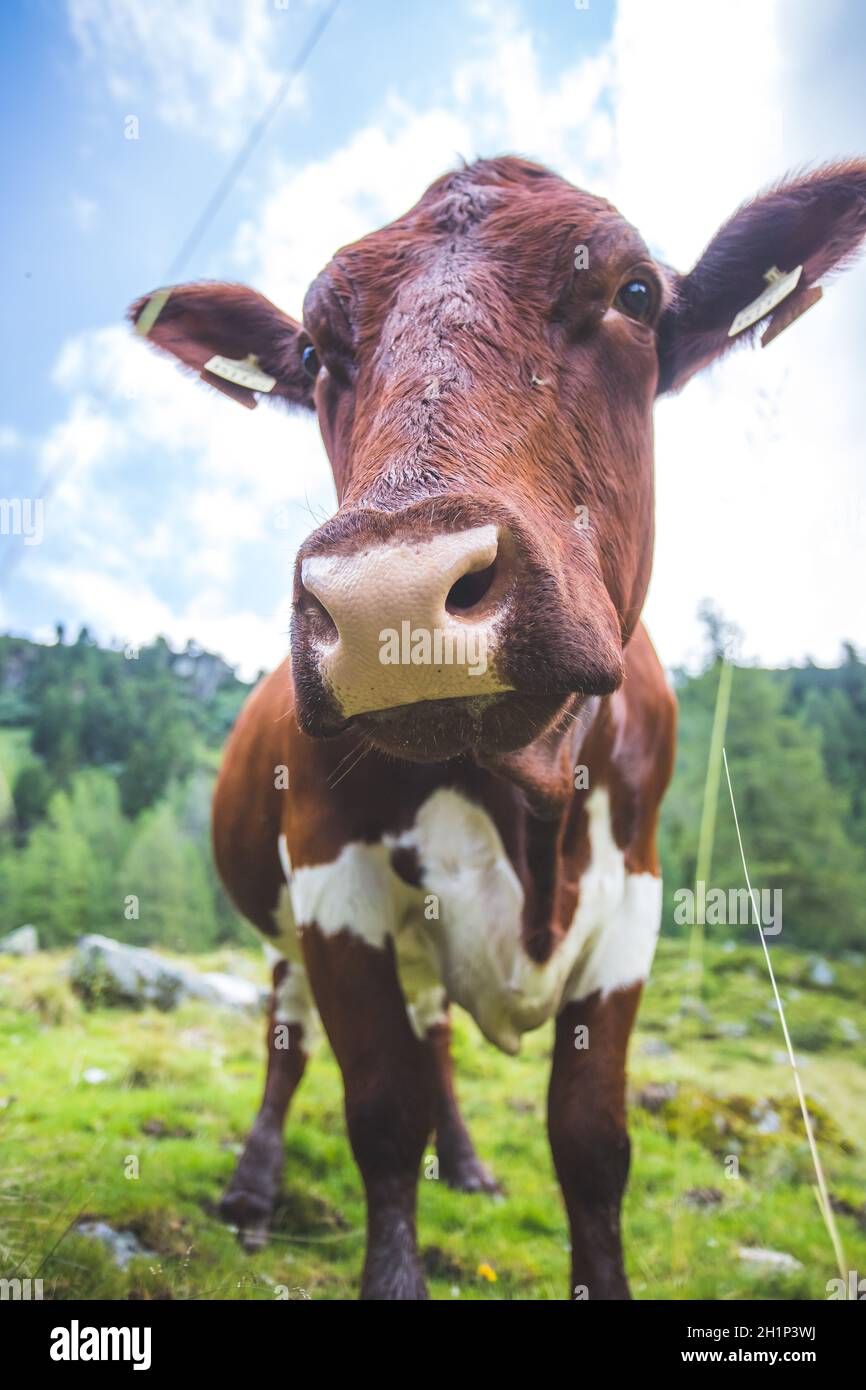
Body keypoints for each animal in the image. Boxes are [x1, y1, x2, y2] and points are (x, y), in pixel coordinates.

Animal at [131, 156, 866, 1299]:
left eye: (635, 292)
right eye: (314, 352)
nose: (389, 595)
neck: (531, 797)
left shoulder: (633, 904)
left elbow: (591, 1142)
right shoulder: (331, 879)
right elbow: (382, 1111)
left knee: (435, 1036)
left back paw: (469, 1164)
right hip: (288, 921)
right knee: (291, 1039)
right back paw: (254, 1189)